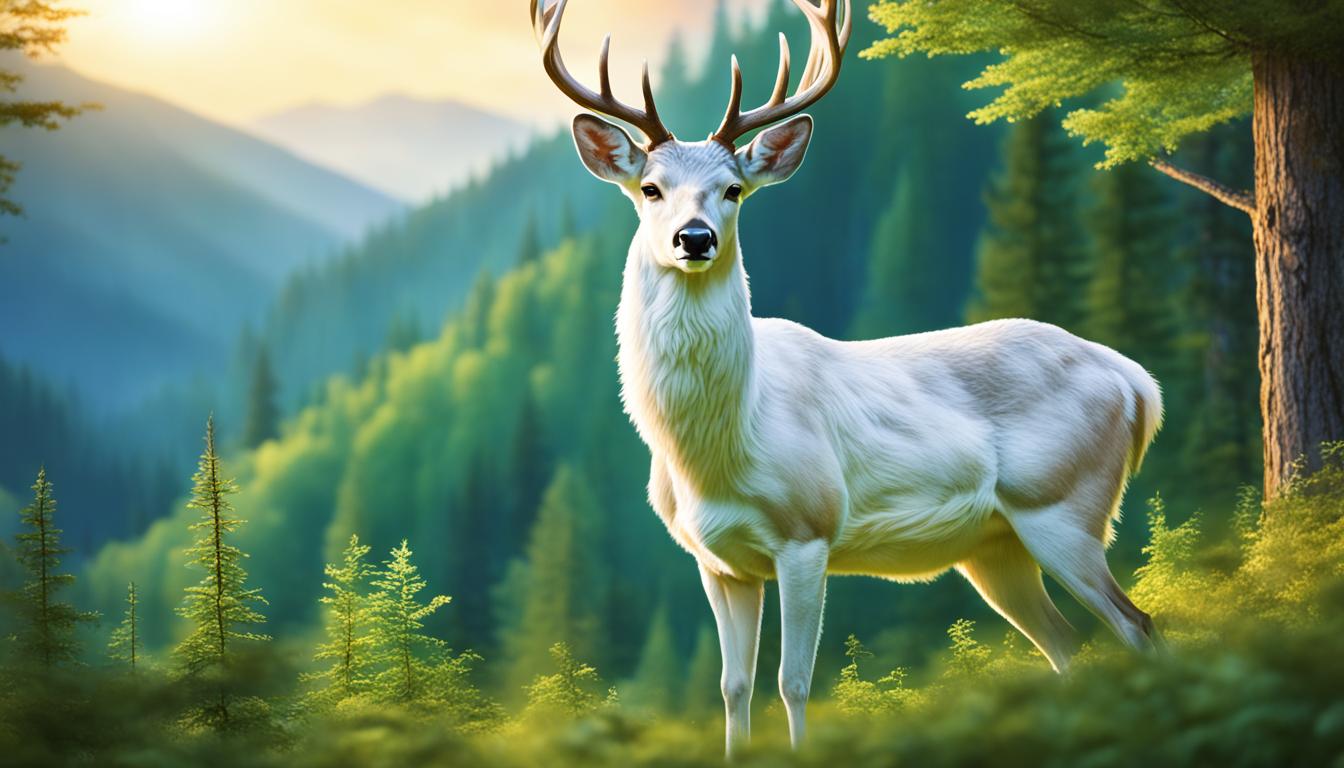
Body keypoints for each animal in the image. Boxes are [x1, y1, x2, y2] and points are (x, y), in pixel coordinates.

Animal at [531, 0, 1162, 756]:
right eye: (650, 189)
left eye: (733, 190)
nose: (694, 237)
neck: (716, 451)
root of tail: (1136, 382)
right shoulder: (717, 562)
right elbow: (732, 689)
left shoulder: (809, 531)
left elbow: (793, 684)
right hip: (997, 546)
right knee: (1069, 645)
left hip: (1064, 504)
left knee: (1137, 625)